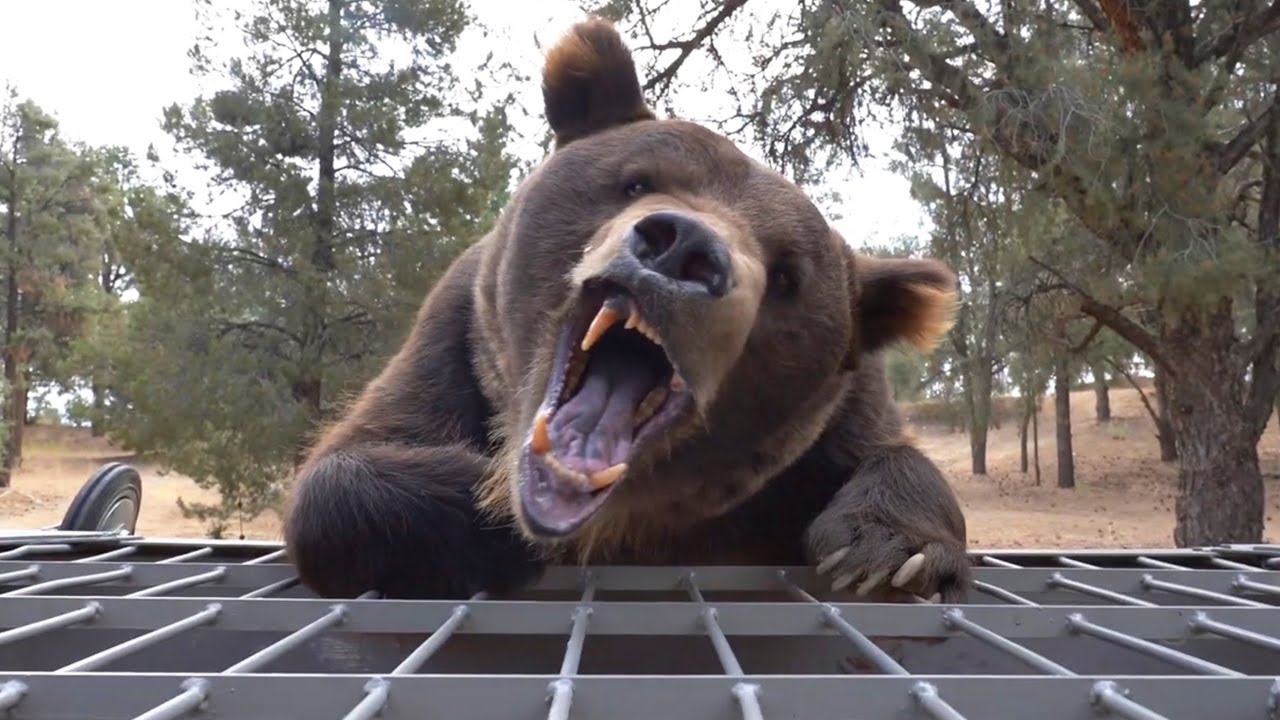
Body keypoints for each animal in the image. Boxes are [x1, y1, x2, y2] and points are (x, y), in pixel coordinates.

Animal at [281, 17, 972, 604]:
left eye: (786, 276)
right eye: (637, 181)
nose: (683, 250)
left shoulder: (825, 437)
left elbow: (891, 460)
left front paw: (883, 549)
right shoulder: (451, 350)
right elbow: (339, 472)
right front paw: (482, 514)